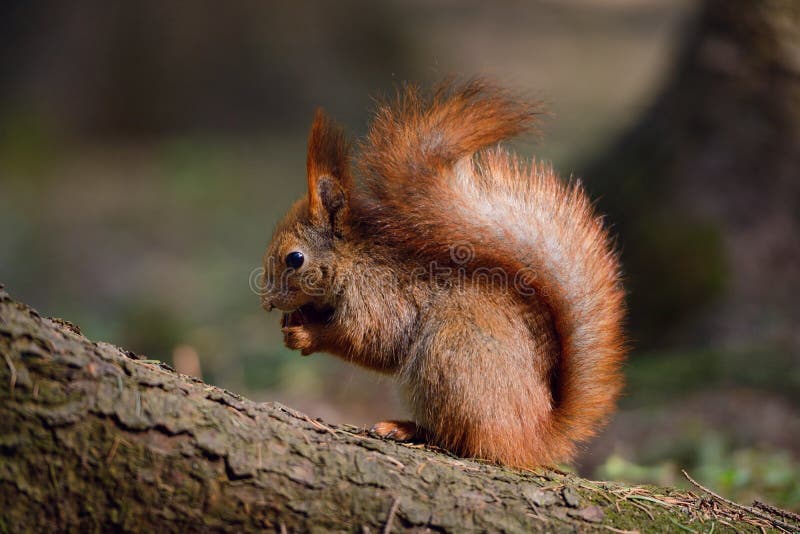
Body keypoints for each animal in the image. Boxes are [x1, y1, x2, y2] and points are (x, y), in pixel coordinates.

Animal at [260, 80, 626, 468]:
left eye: (295, 258)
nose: (267, 301)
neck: (355, 261)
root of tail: (533, 438)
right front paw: (295, 318)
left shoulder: (381, 300)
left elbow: (367, 341)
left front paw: (307, 335)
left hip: (450, 358)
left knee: (463, 439)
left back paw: (406, 428)